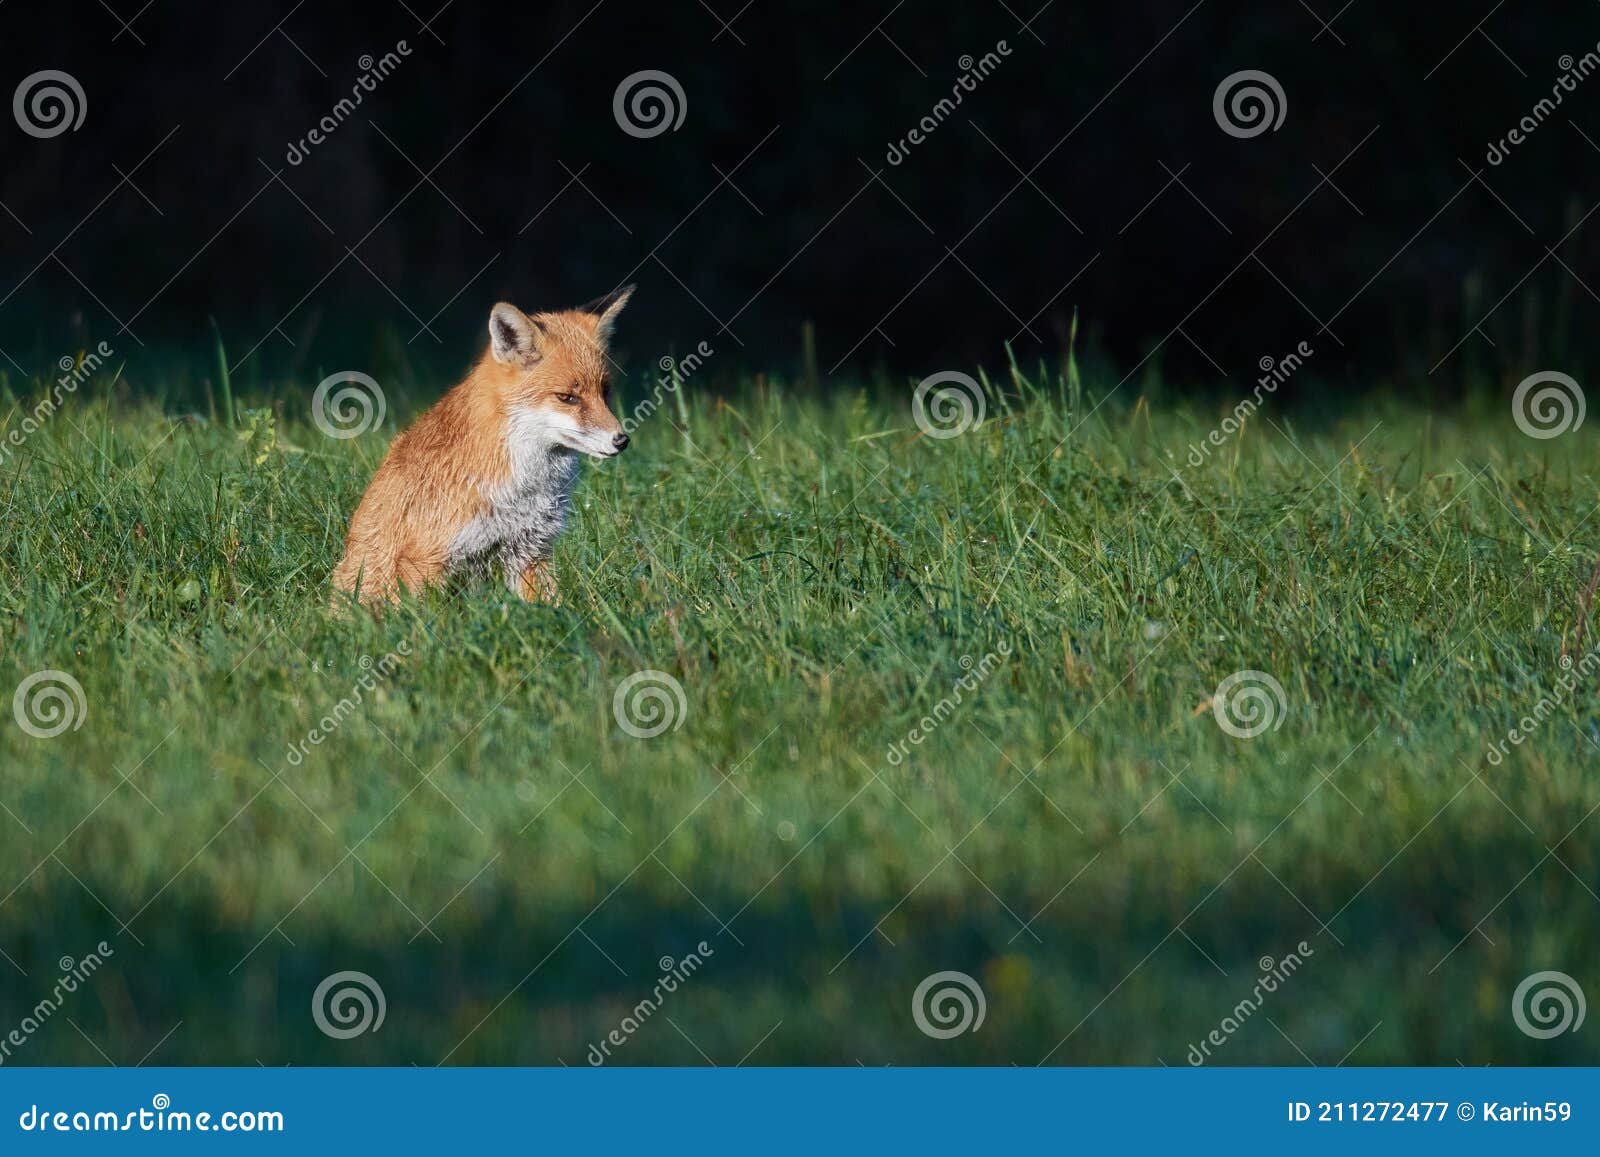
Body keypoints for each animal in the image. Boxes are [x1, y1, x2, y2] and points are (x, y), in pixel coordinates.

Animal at [330, 286, 635, 608]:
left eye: (605, 391)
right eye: (567, 397)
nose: (621, 440)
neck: (525, 489)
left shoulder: (530, 548)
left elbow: (549, 607)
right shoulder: (425, 558)